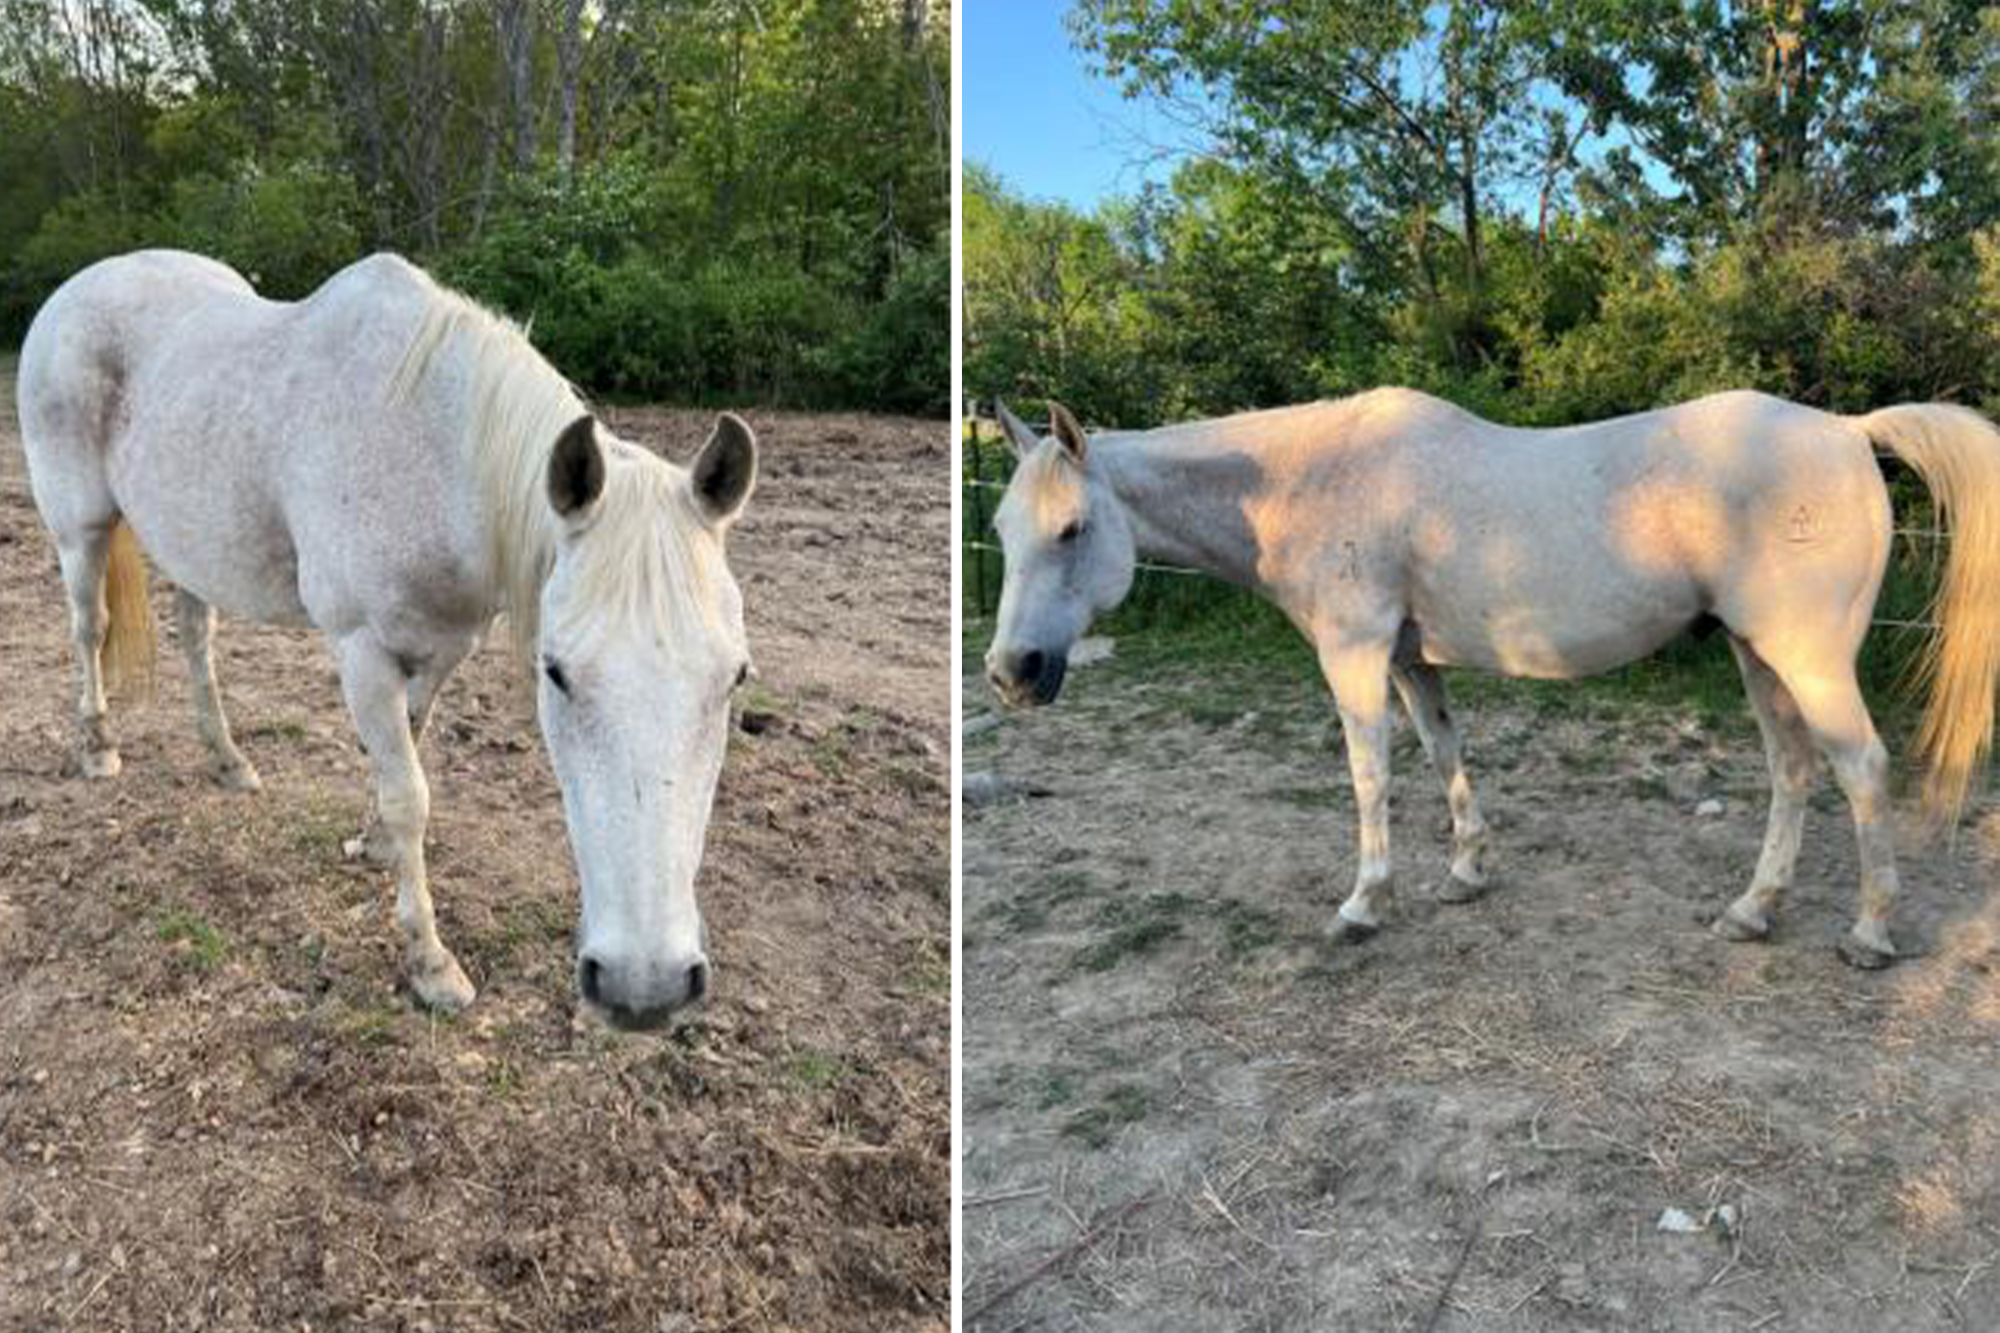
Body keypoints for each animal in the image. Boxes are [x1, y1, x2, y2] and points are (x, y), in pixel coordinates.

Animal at [17, 249, 759, 1027]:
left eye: (735, 677)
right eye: (554, 672)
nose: (645, 989)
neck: (429, 452)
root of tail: (80, 285)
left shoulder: (440, 649)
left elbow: (406, 749)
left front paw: (374, 841)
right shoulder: (364, 654)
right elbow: (411, 794)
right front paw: (429, 961)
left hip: (194, 542)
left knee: (196, 637)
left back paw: (227, 760)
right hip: (80, 528)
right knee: (88, 628)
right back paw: (98, 747)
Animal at [982, 389, 2000, 969]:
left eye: (1072, 528)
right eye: (1001, 528)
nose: (1010, 673)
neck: (1313, 480)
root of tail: (1849, 433)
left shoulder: (1355, 653)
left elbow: (1370, 776)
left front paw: (1363, 904)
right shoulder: (1407, 660)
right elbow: (1443, 752)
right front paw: (1468, 868)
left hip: (1808, 658)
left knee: (1861, 770)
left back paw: (1869, 934)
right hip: (1759, 655)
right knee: (1793, 773)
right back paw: (1753, 912)